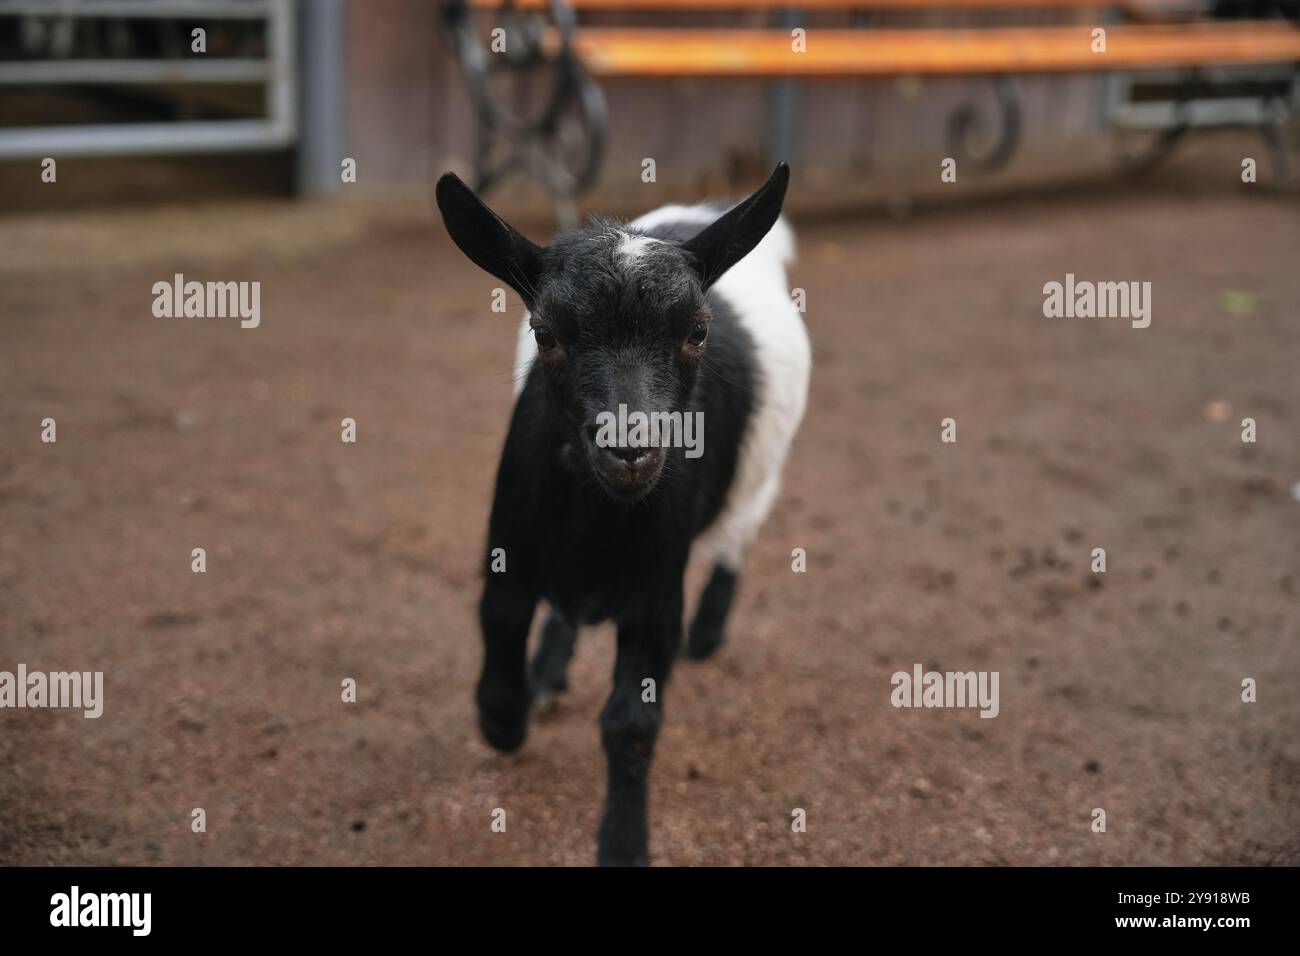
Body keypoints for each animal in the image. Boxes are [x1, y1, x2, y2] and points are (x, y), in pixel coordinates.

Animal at [435, 163, 810, 865]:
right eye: (545, 334)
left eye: (696, 331)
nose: (630, 445)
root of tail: (702, 211)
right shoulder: (508, 555)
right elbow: (499, 639)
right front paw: (509, 715)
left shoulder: (657, 593)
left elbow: (631, 726)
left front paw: (624, 841)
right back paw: (549, 672)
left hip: (763, 469)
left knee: (740, 534)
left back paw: (709, 631)